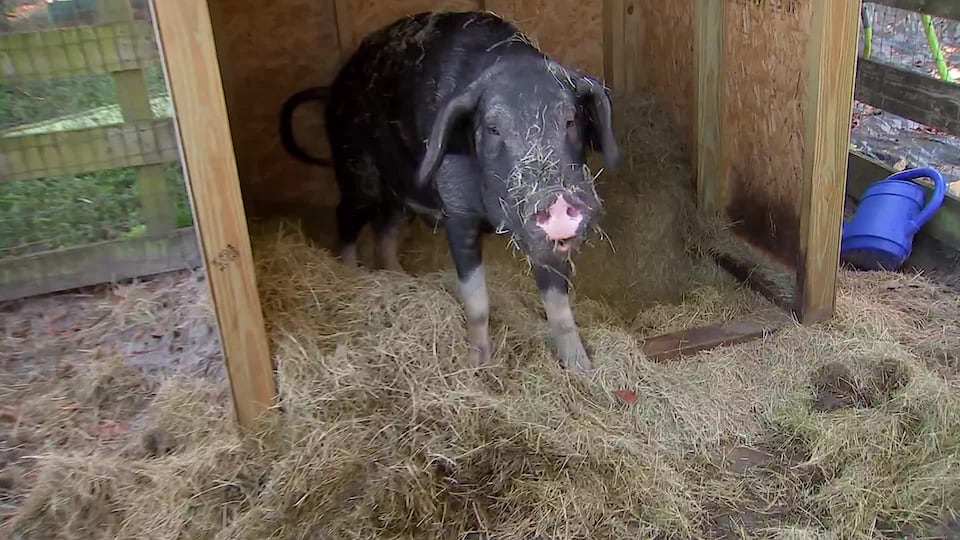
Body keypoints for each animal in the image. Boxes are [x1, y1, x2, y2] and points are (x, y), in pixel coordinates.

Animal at [278, 10, 619, 374]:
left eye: (570, 119)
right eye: (493, 128)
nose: (555, 197)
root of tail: (332, 89)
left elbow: (558, 303)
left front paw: (583, 369)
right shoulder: (457, 213)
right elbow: (477, 300)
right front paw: (479, 367)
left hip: (403, 192)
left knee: (385, 232)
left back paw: (402, 279)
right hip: (356, 173)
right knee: (347, 218)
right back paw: (352, 274)